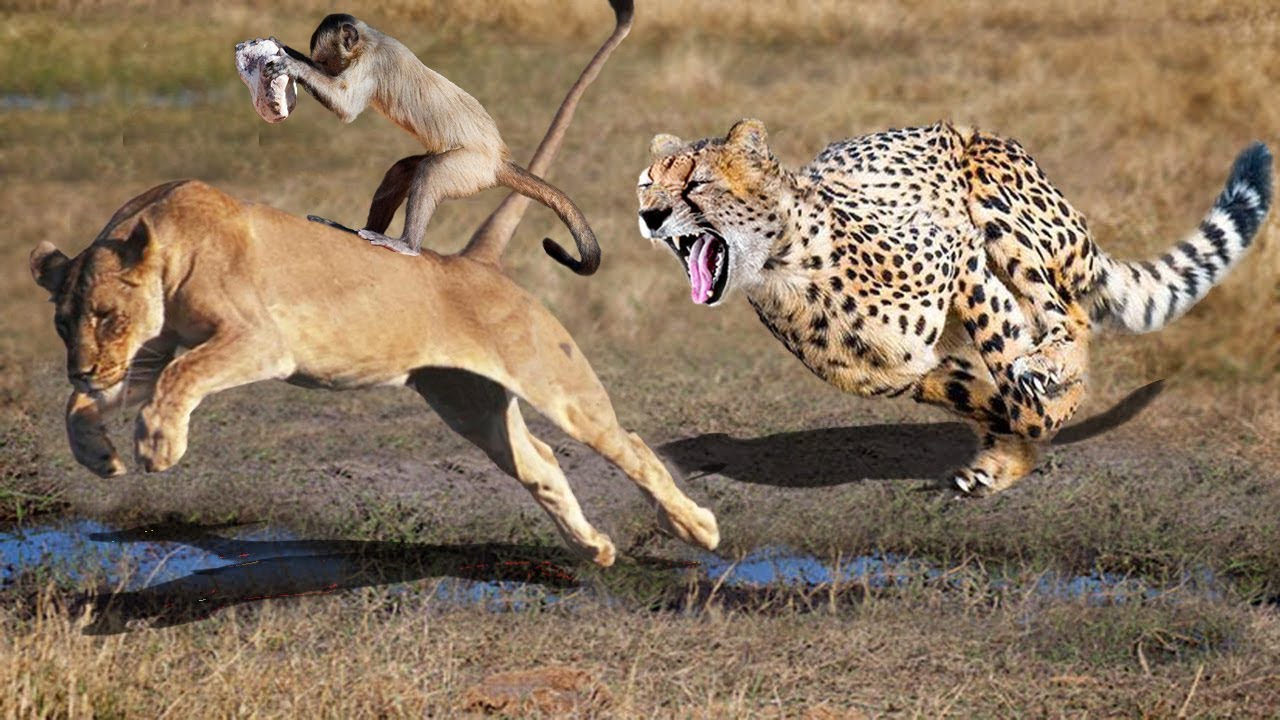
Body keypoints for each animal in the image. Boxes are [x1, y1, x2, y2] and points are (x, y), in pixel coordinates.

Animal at [267, 13, 600, 274]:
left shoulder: (372, 63)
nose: (324, 68)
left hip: (472, 166)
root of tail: (499, 158)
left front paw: (294, 66)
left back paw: (407, 245)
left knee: (431, 171)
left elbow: (346, 108)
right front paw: (285, 50)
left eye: (326, 62)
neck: (371, 40)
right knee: (404, 169)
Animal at [636, 118, 1271, 494]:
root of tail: (972, 127)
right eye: (647, 183)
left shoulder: (961, 255)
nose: (649, 216)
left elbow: (1014, 369)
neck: (786, 269)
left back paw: (1054, 369)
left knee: (1069, 314)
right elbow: (986, 400)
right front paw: (1004, 460)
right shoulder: (913, 371)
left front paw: (1046, 412)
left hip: (996, 201)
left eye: (696, 183)